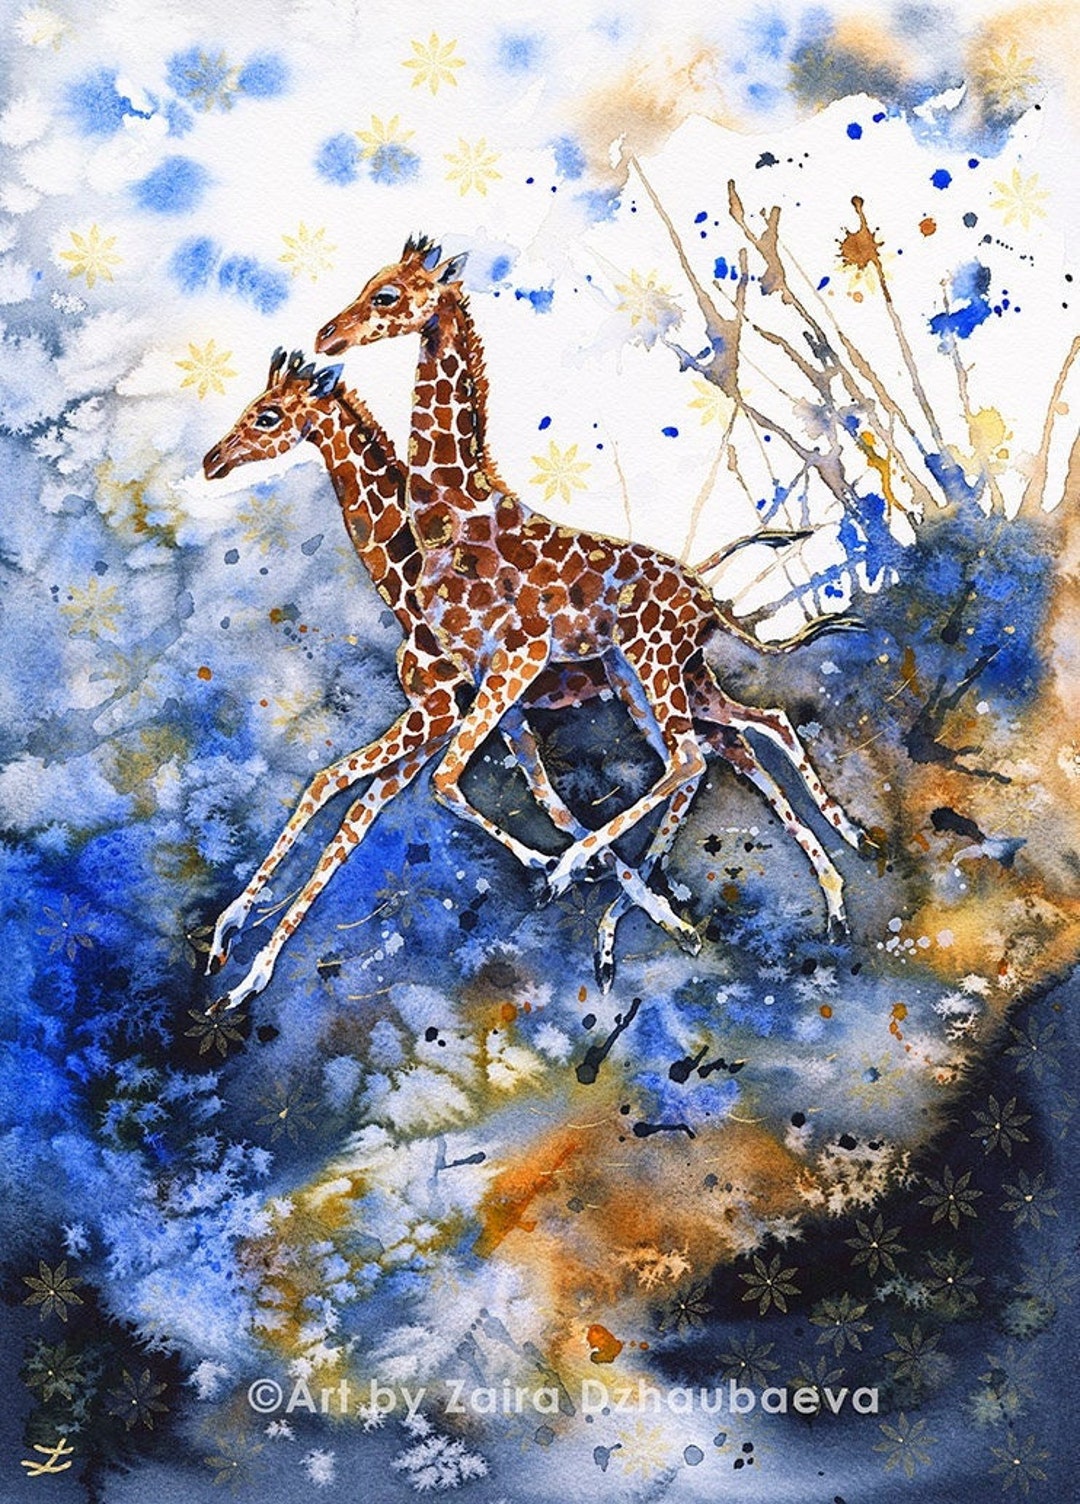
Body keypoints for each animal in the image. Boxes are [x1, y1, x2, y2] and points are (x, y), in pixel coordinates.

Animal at [201, 349, 698, 1010]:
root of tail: (707, 600)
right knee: (707, 759)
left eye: (268, 414)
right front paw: (232, 951)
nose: (211, 461)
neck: (406, 586)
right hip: (646, 693)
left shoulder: (439, 711)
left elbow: (345, 790)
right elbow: (354, 807)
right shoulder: (453, 719)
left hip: (662, 686)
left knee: (709, 757)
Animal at [314, 237, 872, 975]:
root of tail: (704, 596)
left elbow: (453, 781)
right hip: (652, 678)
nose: (326, 336)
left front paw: (561, 868)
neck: (451, 511)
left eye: (386, 294)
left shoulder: (510, 663)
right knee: (745, 734)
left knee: (694, 758)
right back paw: (837, 879)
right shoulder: (493, 682)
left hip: (654, 669)